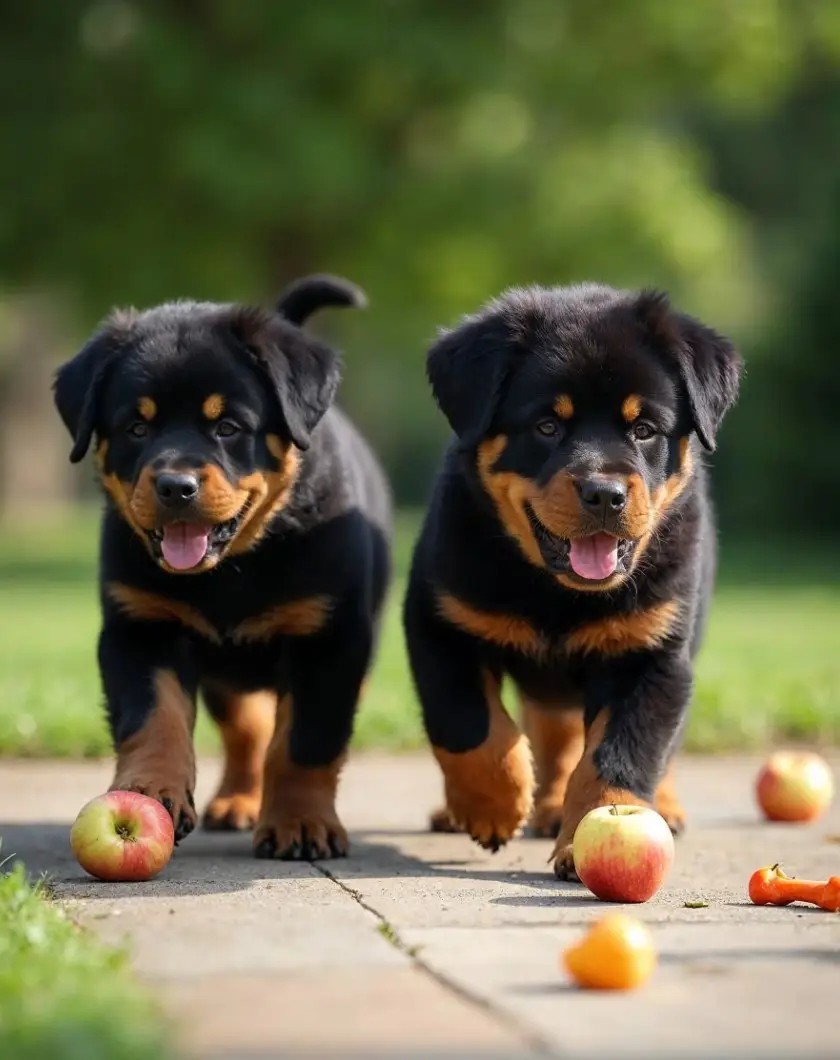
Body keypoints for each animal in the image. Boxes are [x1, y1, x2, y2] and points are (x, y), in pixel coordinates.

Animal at [55, 275, 390, 860]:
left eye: (228, 427)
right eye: (136, 428)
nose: (175, 486)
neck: (233, 570)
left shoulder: (329, 640)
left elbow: (306, 741)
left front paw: (302, 821)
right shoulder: (140, 628)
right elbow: (153, 719)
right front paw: (149, 790)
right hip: (226, 679)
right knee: (245, 731)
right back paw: (236, 801)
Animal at [405, 284, 742, 877]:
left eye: (644, 429)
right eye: (547, 426)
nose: (604, 493)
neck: (556, 592)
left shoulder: (650, 654)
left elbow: (619, 757)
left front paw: (592, 827)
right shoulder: (437, 620)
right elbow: (468, 724)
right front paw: (494, 805)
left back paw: (658, 807)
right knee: (548, 729)